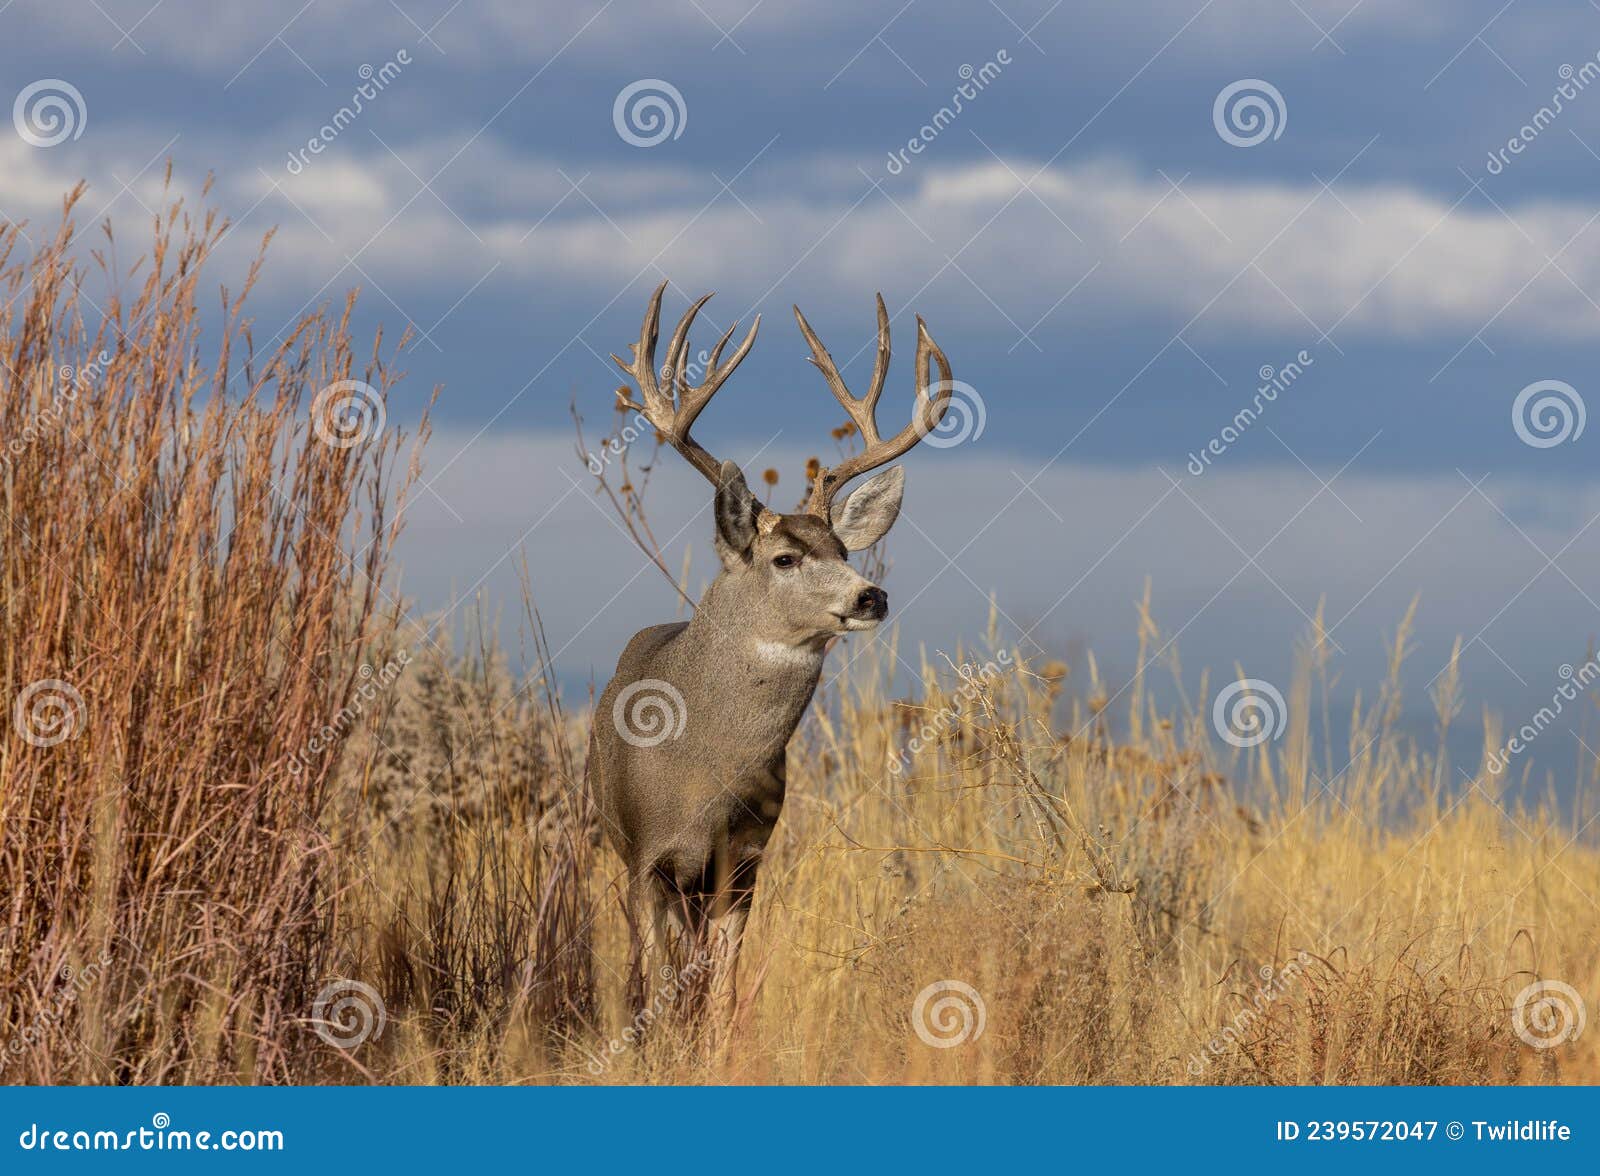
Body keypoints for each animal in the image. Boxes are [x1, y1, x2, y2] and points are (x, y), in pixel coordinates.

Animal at [586, 280, 953, 1026]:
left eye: (843, 551)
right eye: (785, 557)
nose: (871, 596)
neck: (701, 778)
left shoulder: (745, 864)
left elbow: (722, 996)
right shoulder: (646, 859)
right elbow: (653, 988)